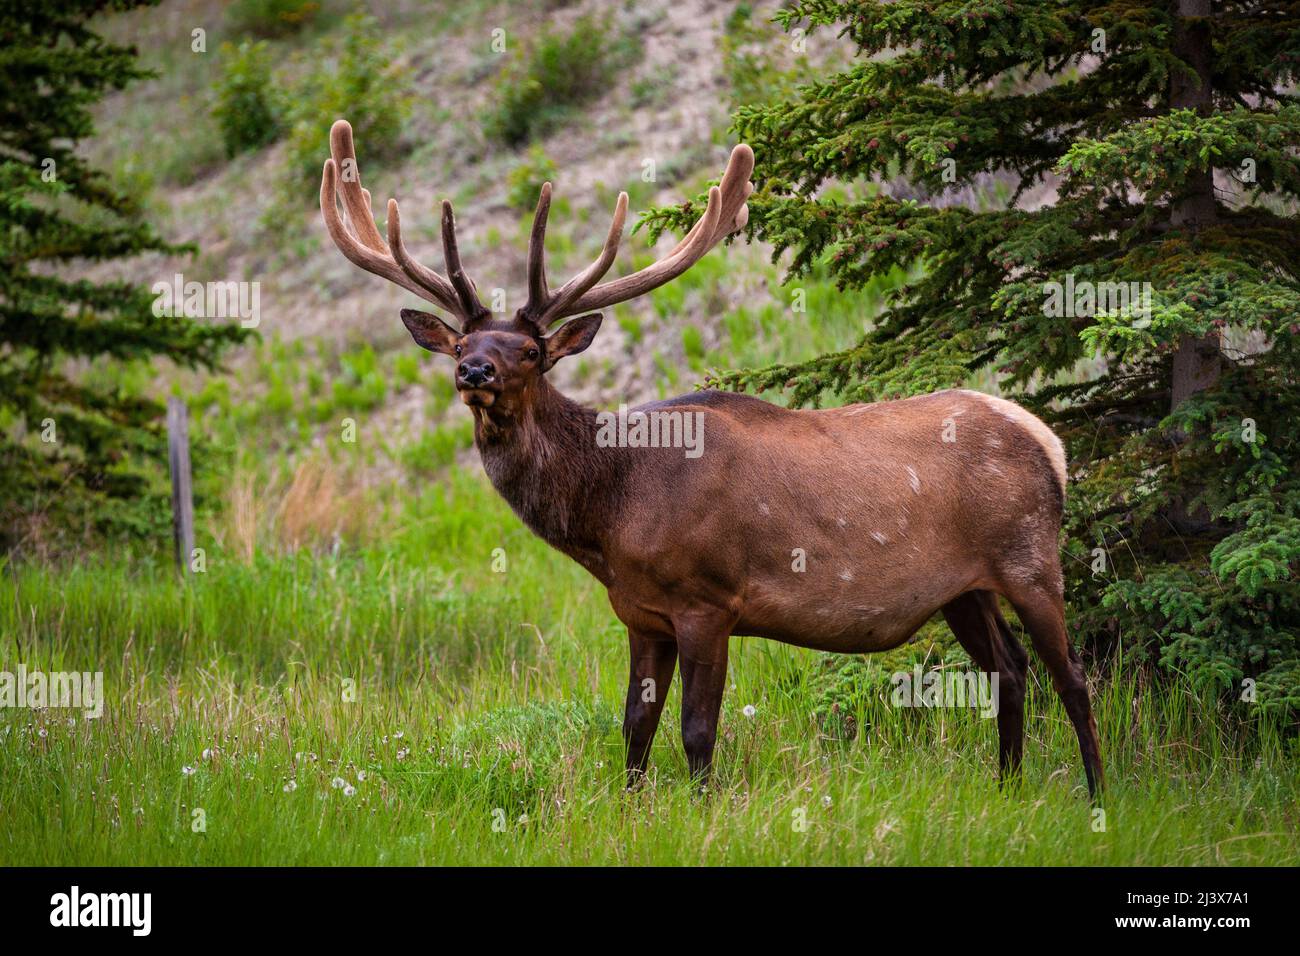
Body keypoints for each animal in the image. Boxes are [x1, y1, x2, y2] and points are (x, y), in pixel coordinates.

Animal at [320, 120, 1104, 798]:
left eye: (532, 351)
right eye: (460, 343)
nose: (474, 372)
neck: (609, 514)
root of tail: (1051, 442)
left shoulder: (709, 601)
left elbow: (697, 733)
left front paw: (701, 810)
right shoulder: (640, 615)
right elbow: (634, 728)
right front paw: (631, 807)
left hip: (1030, 555)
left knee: (1072, 675)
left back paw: (1097, 795)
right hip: (962, 588)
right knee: (1010, 670)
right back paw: (1006, 785)